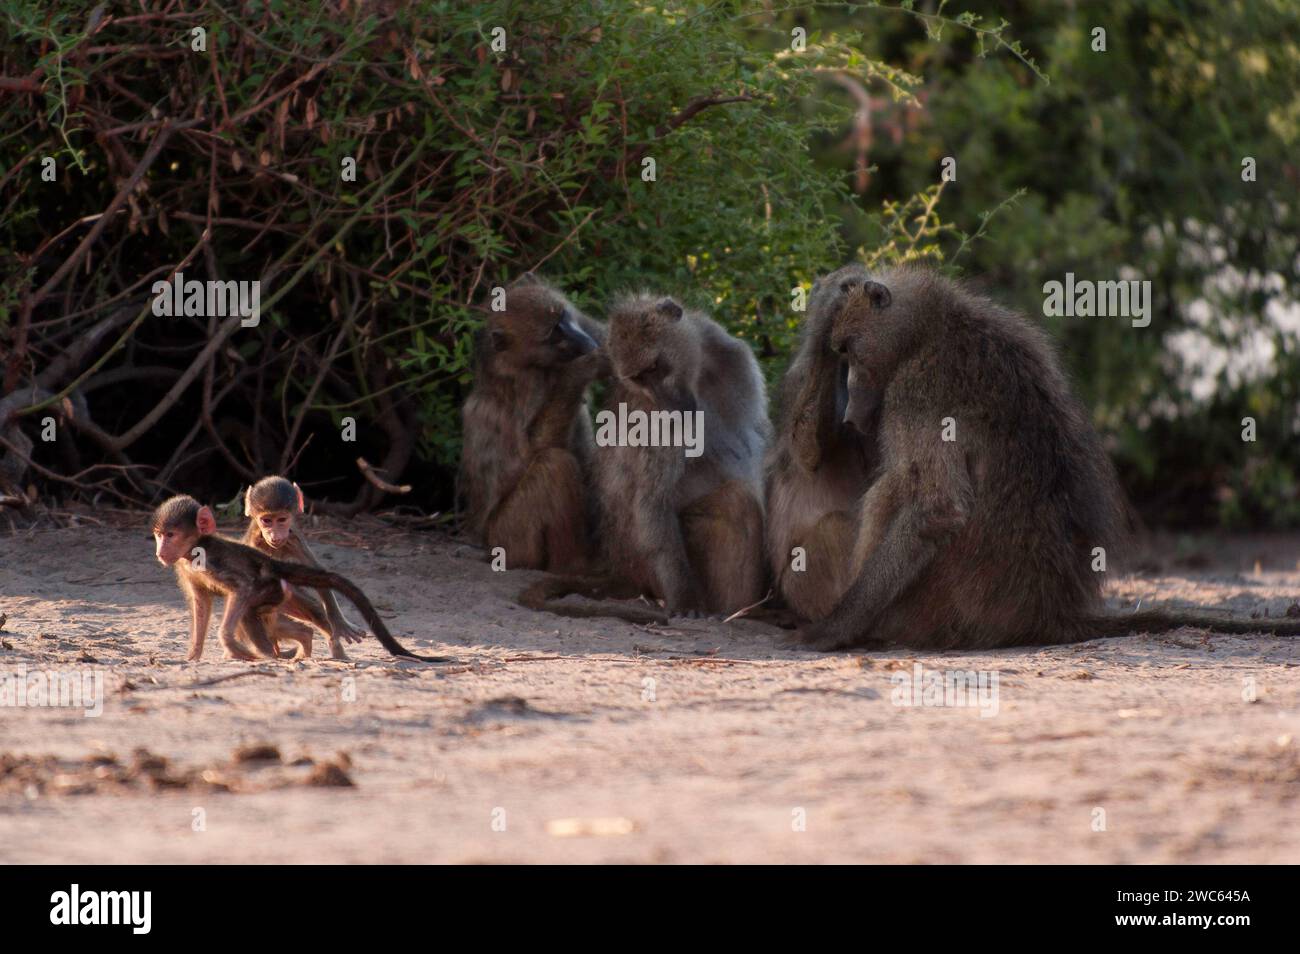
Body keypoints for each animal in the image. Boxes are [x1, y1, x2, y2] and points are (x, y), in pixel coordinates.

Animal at [151, 495, 453, 662]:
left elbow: (242, 587)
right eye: (159, 534)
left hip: (270, 588)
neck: (194, 549)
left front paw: (229, 644)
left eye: (171, 535)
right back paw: (301, 644)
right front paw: (192, 656)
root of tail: (274, 564)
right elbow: (201, 602)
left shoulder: (210, 559)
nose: (160, 551)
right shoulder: (186, 569)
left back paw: (272, 655)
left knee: (249, 612)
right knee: (269, 618)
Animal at [242, 475, 367, 661]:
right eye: (266, 520)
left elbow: (318, 575)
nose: (274, 535)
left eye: (281, 520)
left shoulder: (295, 540)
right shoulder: (255, 542)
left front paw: (339, 623)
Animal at [458, 273, 607, 574]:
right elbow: (532, 452)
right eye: (553, 333)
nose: (589, 343)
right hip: (511, 539)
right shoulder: (532, 385)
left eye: (564, 316)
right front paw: (582, 369)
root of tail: (487, 546)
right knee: (553, 465)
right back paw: (577, 564)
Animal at [585, 293, 771, 617]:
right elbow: (652, 500)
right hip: (642, 564)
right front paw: (686, 599)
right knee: (736, 500)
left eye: (654, 367)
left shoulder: (736, 361)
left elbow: (750, 443)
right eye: (638, 378)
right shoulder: (654, 418)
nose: (670, 406)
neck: (700, 376)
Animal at [793, 265, 1300, 650]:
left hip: (941, 607)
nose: (850, 412)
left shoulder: (914, 392)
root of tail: (1049, 611)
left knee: (892, 487)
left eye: (849, 352)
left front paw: (835, 627)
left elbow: (938, 508)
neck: (929, 327)